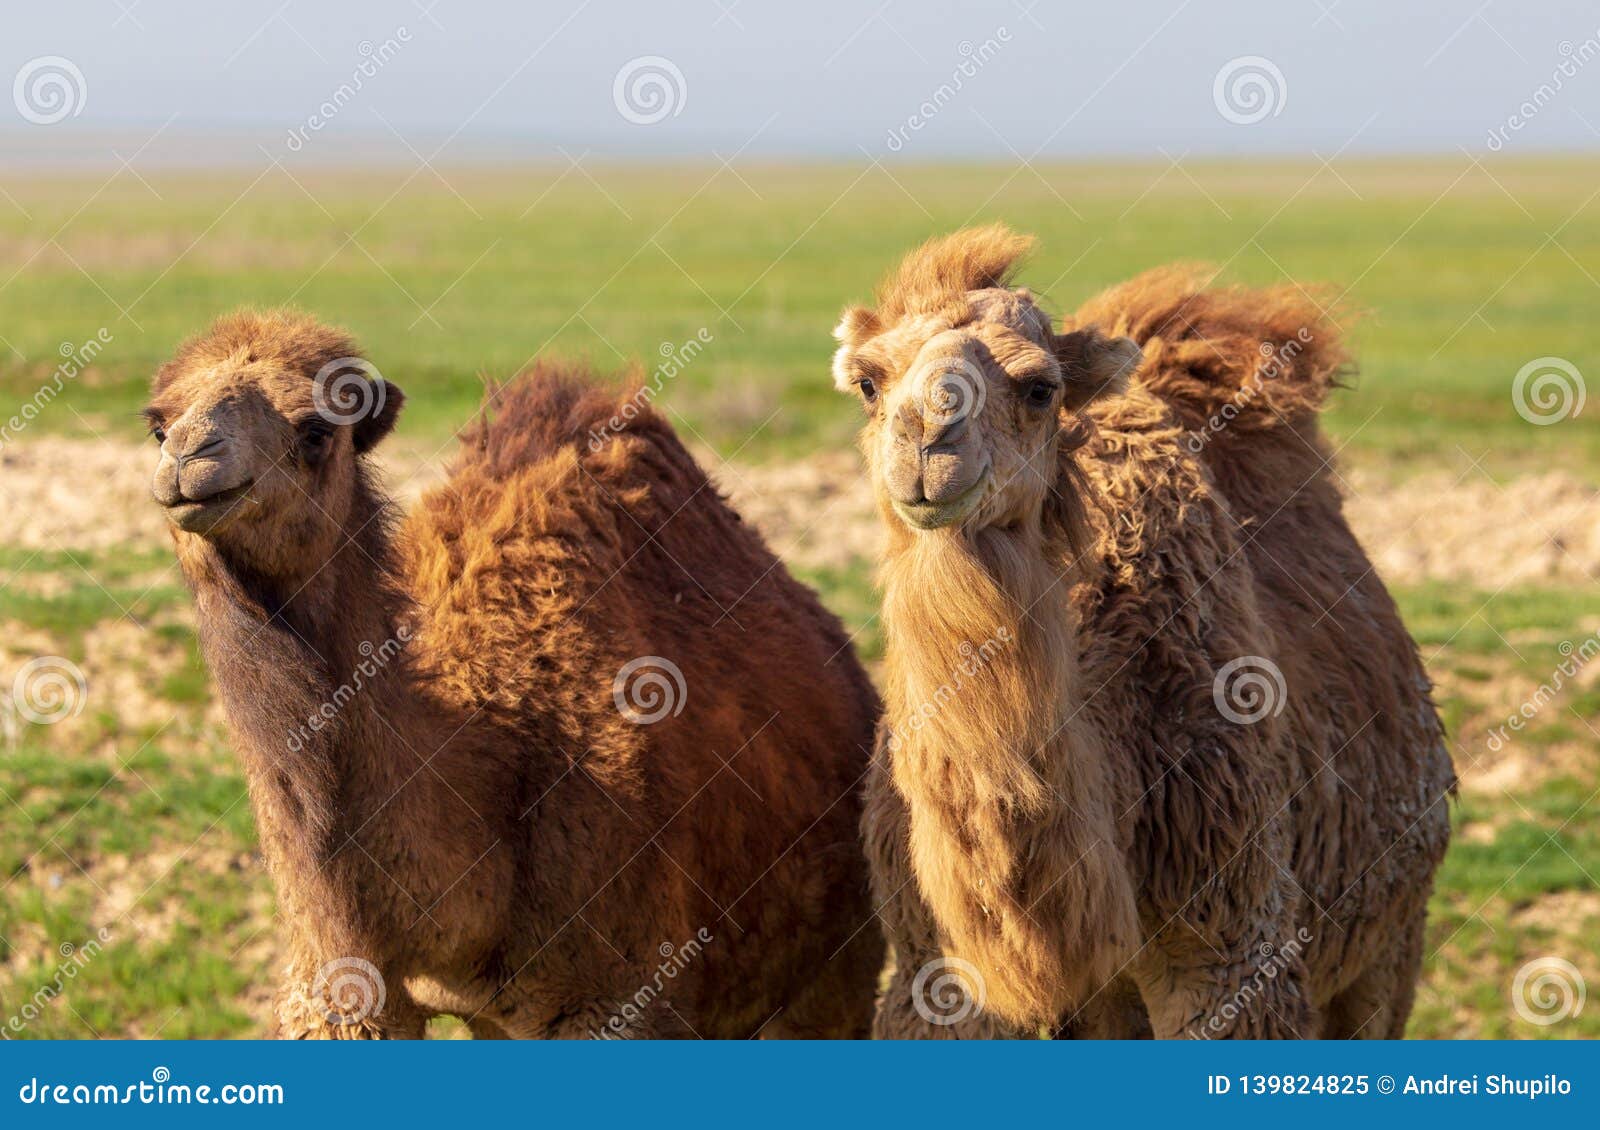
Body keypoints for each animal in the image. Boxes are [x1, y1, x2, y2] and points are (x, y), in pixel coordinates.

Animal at [144, 310, 882, 1038]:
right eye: (157, 423)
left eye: (316, 431)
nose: (189, 460)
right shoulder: (340, 990)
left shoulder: (621, 999)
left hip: (835, 958)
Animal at [833, 226, 1455, 1039]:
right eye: (869, 383)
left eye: (1040, 388)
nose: (929, 439)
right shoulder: (928, 971)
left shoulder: (1232, 950)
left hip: (1392, 936)